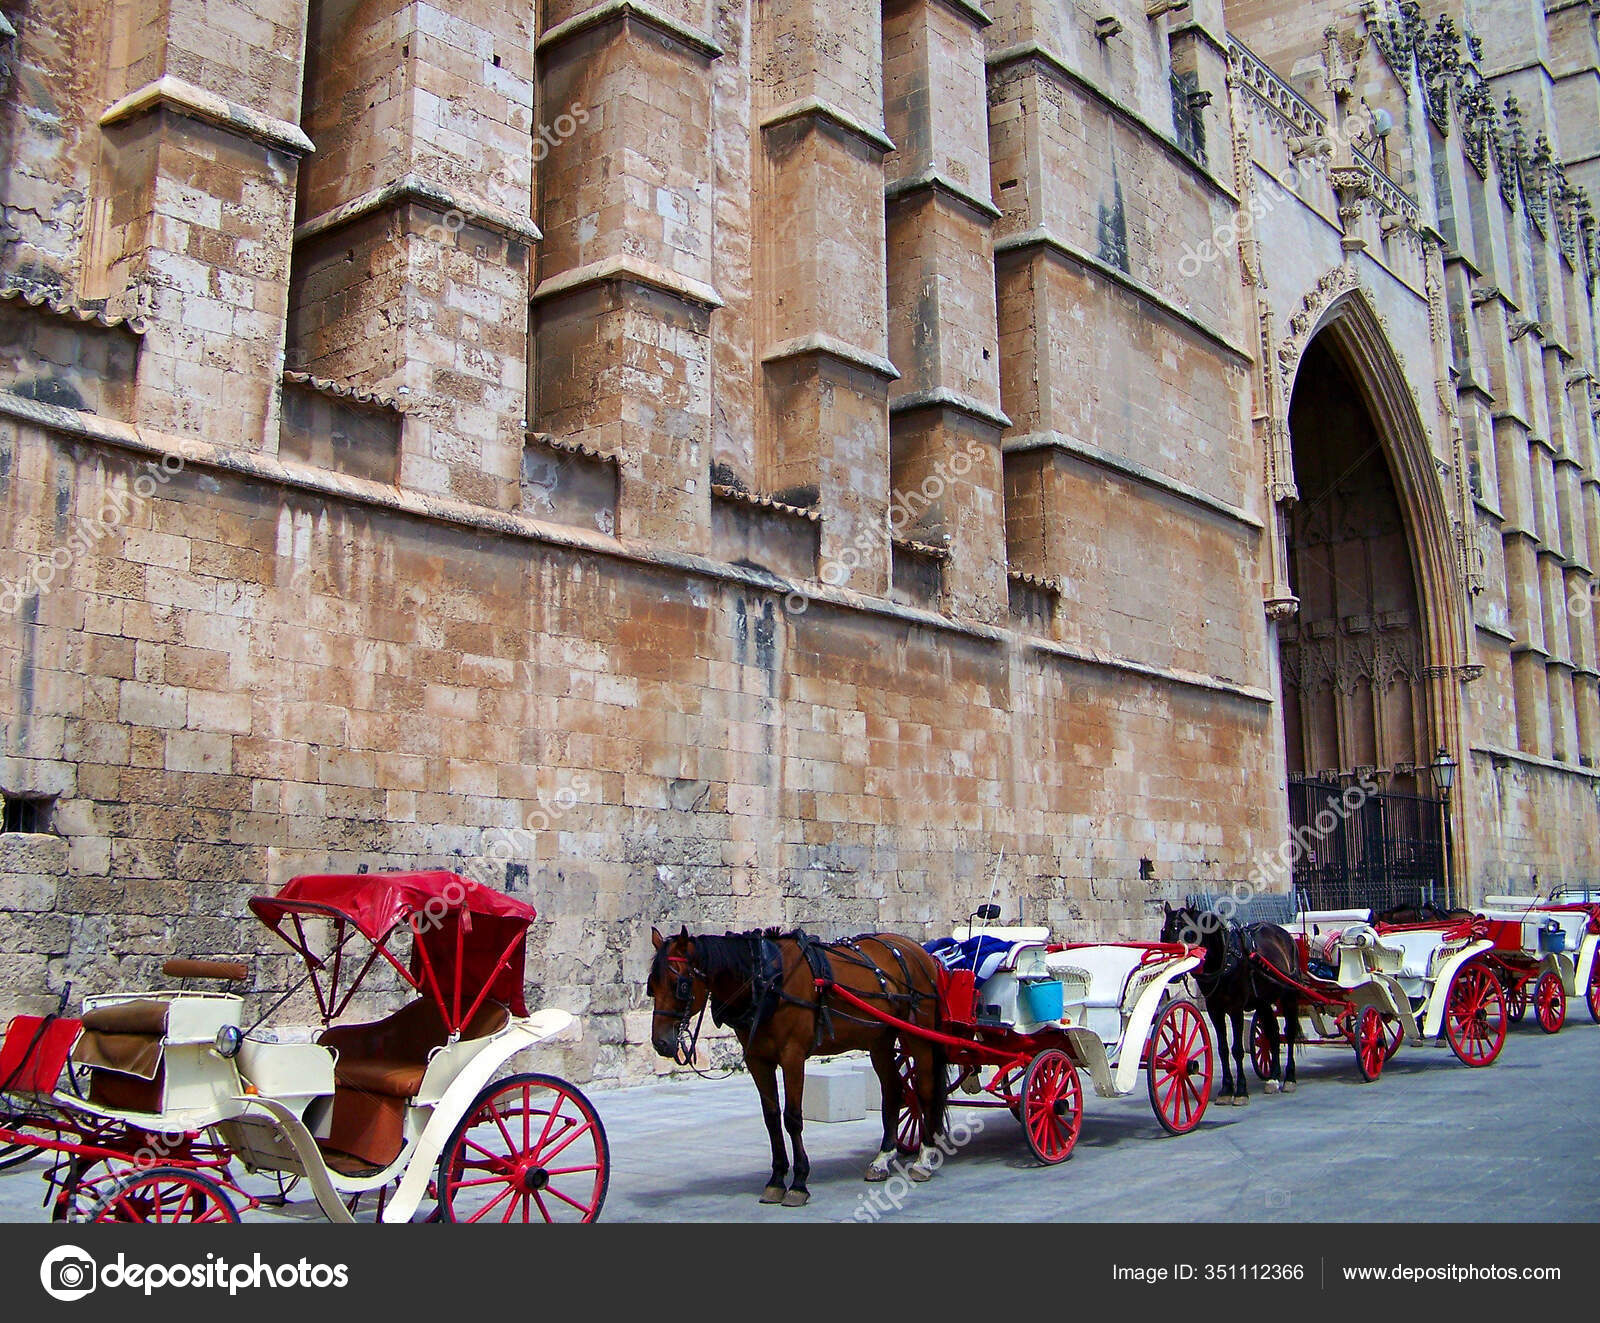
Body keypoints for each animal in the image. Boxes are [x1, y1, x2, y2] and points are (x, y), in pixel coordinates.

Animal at [647, 926, 949, 1207]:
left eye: (679, 985)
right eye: (652, 986)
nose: (661, 1043)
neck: (766, 979)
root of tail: (918, 950)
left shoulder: (793, 1056)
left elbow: (792, 1118)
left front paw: (799, 1183)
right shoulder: (758, 1060)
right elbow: (771, 1118)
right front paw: (776, 1180)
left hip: (919, 1034)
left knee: (925, 1089)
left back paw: (924, 1158)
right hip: (880, 1040)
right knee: (893, 1091)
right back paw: (883, 1158)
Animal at [1160, 903, 1301, 1105]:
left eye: (1188, 933)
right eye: (1164, 931)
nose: (1173, 971)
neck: (1223, 959)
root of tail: (1286, 935)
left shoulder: (1236, 1009)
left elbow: (1237, 1050)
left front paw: (1241, 1091)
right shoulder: (1215, 1010)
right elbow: (1223, 1049)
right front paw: (1226, 1089)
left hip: (1290, 995)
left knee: (1289, 1034)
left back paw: (1289, 1078)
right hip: (1263, 1001)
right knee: (1272, 1033)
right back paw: (1273, 1078)